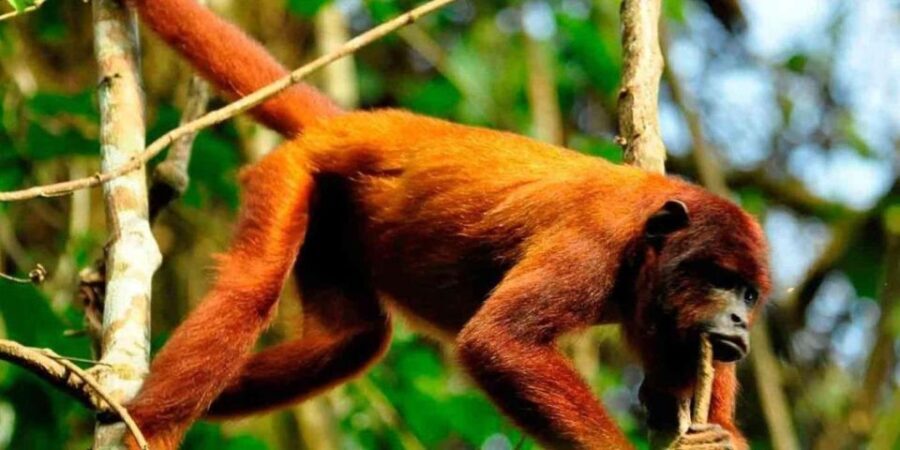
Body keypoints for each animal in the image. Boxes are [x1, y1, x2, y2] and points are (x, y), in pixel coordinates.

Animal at [123, 1, 770, 449]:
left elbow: (679, 391)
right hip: (293, 172)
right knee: (251, 289)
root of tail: (356, 123)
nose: (740, 321)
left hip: (336, 217)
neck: (647, 237)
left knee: (350, 340)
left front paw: (718, 436)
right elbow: (499, 342)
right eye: (719, 279)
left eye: (749, 294)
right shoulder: (592, 244)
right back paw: (148, 427)